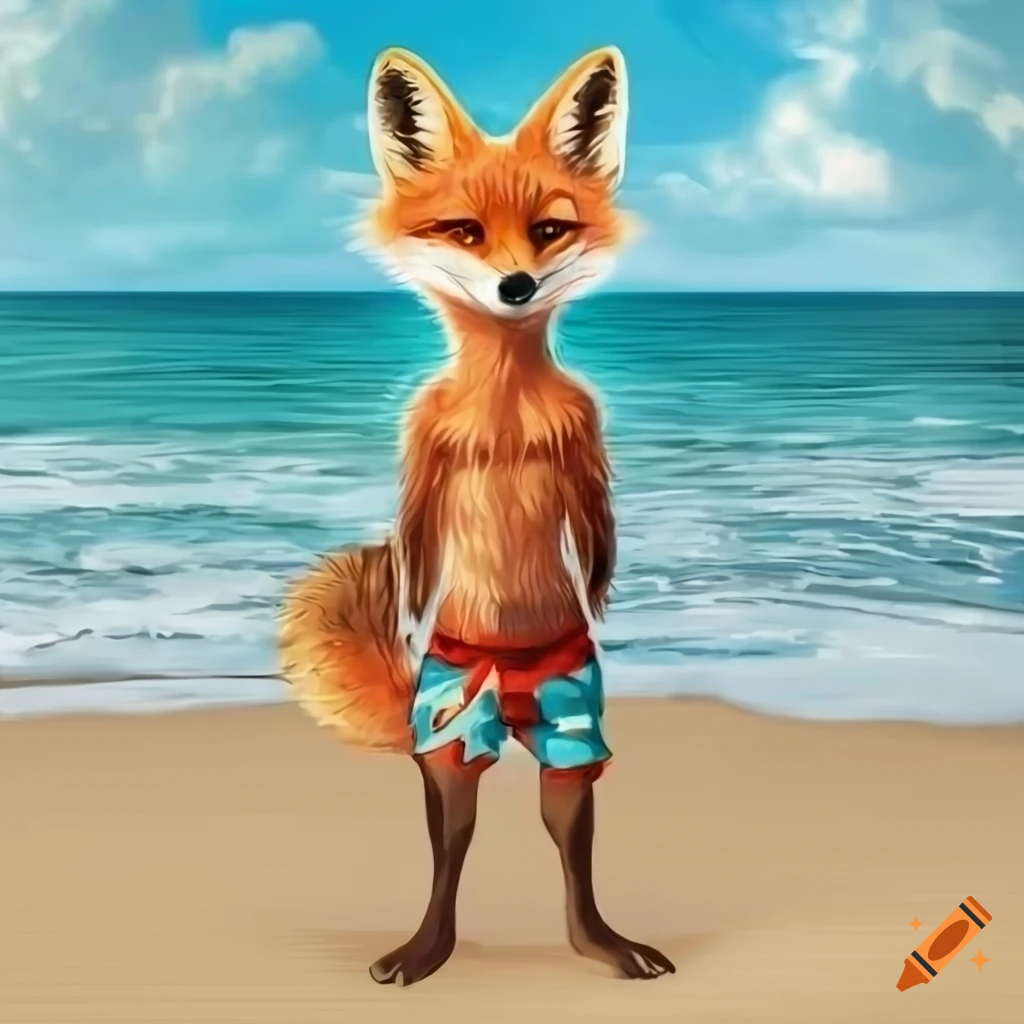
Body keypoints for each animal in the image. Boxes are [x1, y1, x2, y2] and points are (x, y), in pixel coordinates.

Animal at [279, 45, 675, 987]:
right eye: (464, 231)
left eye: (549, 231)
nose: (517, 285)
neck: (503, 405)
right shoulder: (422, 436)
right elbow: (416, 544)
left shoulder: (585, 428)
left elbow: (597, 536)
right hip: (457, 721)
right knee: (452, 830)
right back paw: (428, 947)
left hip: (567, 723)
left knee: (565, 822)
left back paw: (596, 941)